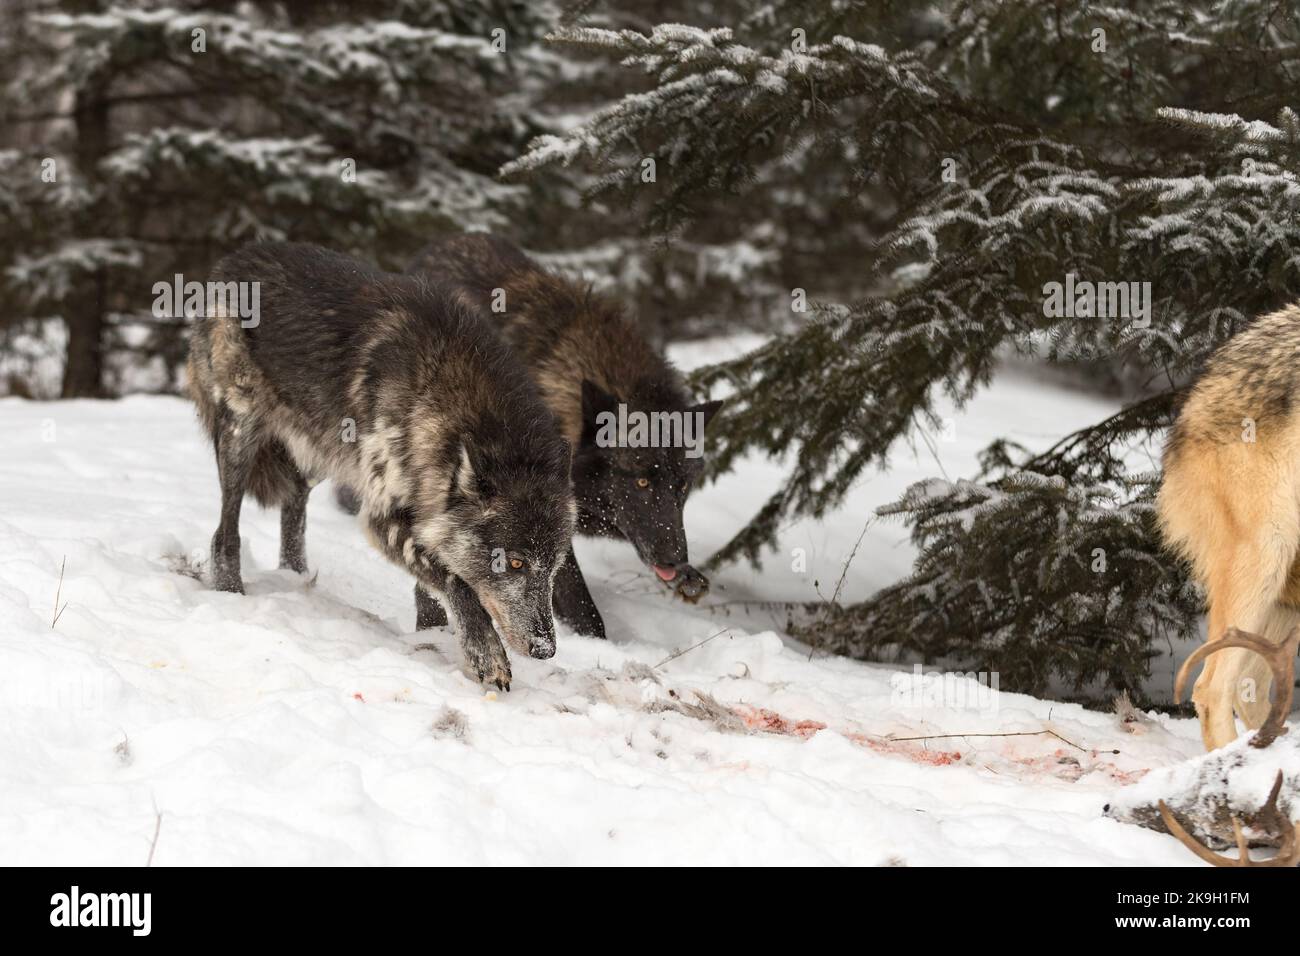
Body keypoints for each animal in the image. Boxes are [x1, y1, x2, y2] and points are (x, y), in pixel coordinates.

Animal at [186, 242, 576, 690]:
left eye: (554, 567)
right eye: (513, 563)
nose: (545, 649)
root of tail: (233, 257)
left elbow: (433, 584)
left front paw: (432, 634)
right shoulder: (382, 517)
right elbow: (455, 582)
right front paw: (485, 654)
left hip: (317, 453)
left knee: (294, 513)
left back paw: (295, 578)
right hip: (242, 433)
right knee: (225, 530)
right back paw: (231, 590)